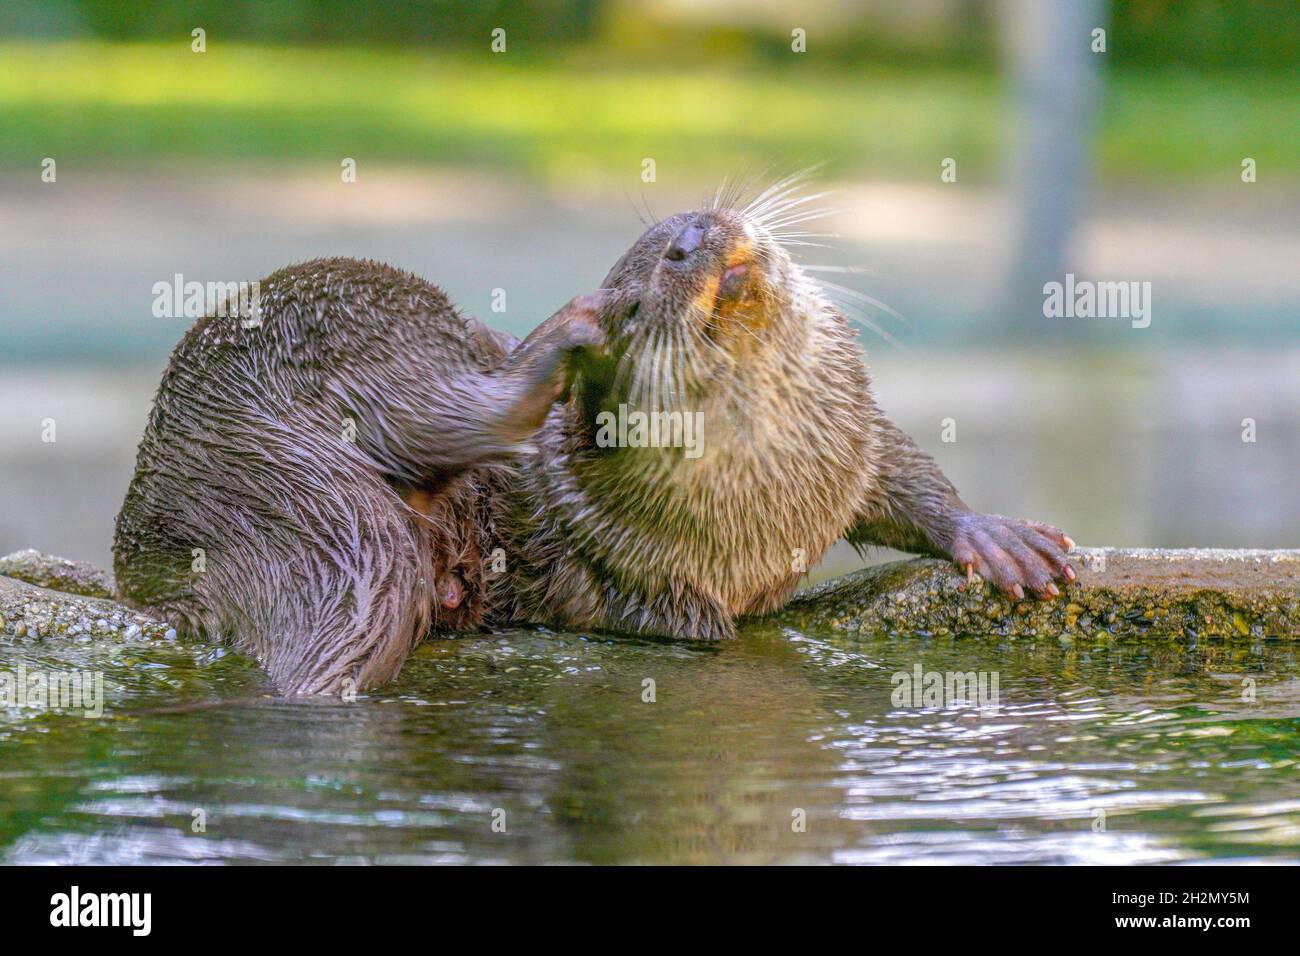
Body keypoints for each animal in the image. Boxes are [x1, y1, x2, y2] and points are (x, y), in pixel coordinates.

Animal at [114, 188, 1075, 695]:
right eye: (641, 297)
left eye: (693, 216)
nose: (691, 240)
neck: (774, 491)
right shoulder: (613, 565)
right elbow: (662, 619)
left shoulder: (850, 445)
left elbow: (902, 474)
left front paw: (995, 537)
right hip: (370, 331)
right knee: (447, 408)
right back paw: (559, 339)